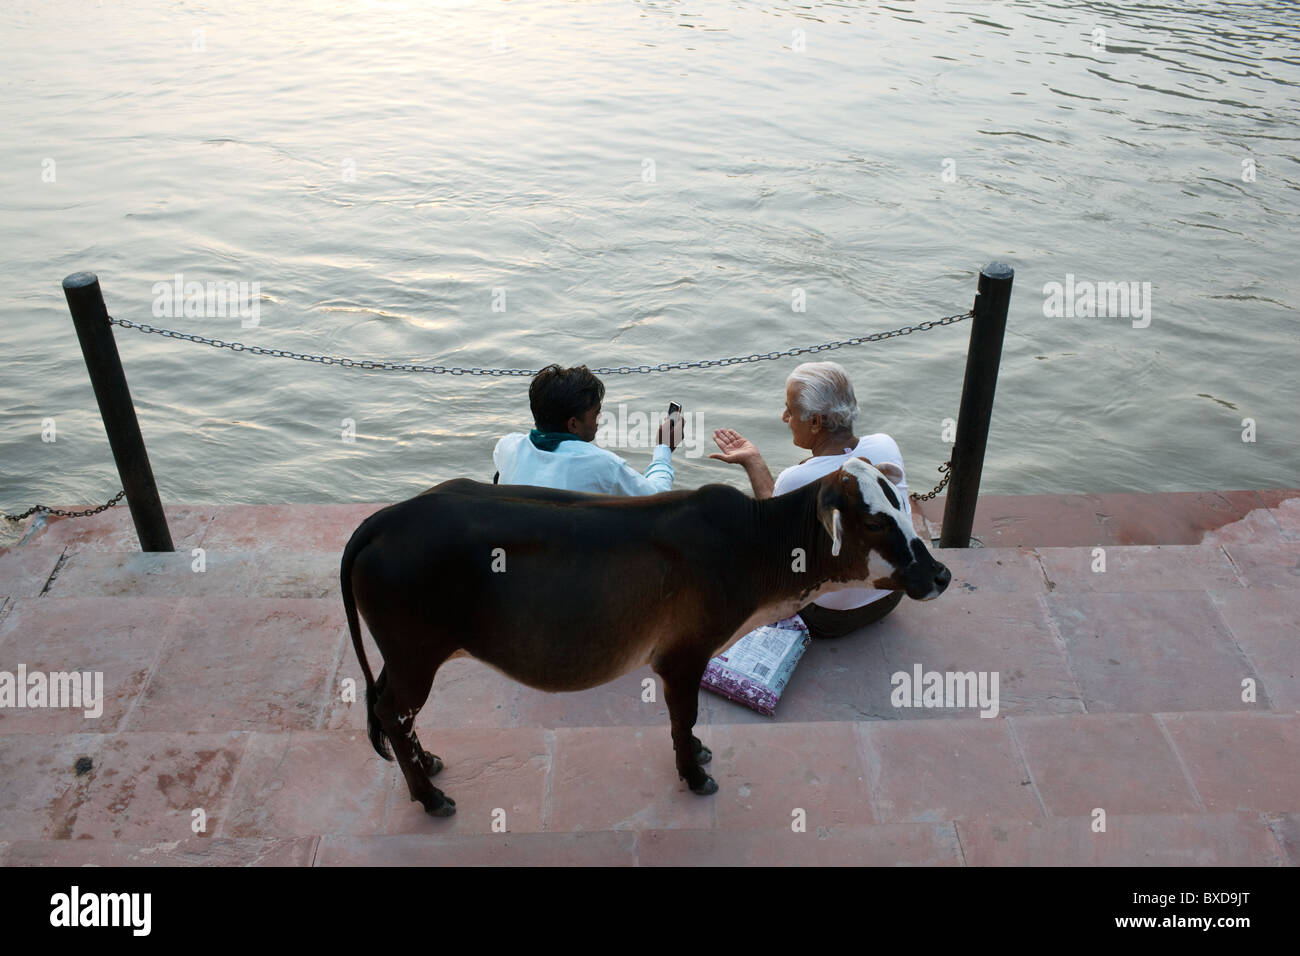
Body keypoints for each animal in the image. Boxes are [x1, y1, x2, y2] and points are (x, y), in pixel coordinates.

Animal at [340, 456, 950, 816]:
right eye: (875, 520)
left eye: (902, 505)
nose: (941, 574)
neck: (757, 546)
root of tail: (387, 517)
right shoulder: (683, 656)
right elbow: (684, 719)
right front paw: (693, 773)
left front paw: (698, 755)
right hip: (416, 655)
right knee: (392, 711)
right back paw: (428, 796)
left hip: (404, 655)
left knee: (387, 707)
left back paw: (427, 764)